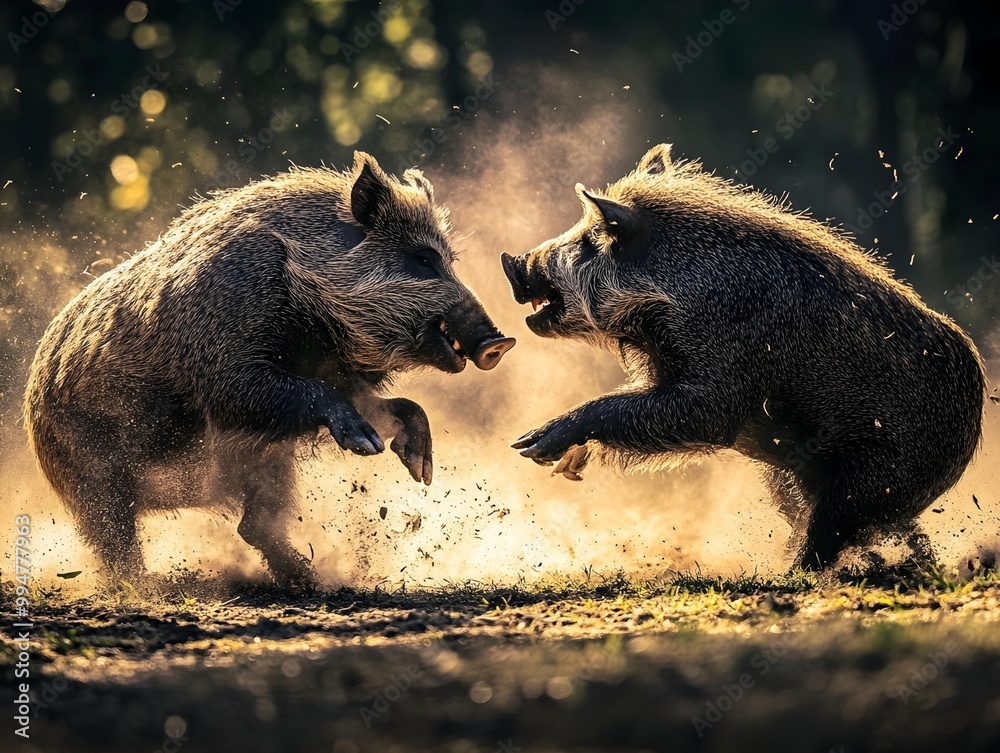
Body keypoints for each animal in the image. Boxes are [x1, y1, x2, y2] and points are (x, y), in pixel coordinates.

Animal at [24, 152, 514, 586]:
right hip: (92, 475)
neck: (311, 314)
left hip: (270, 463)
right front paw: (366, 445)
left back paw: (308, 580)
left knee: (252, 527)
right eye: (423, 259)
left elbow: (402, 405)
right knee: (114, 541)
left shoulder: (338, 379)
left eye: (448, 259)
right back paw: (149, 585)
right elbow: (311, 397)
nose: (500, 342)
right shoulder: (227, 372)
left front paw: (420, 471)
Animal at [502, 144, 985, 570]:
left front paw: (529, 445)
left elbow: (677, 412)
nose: (512, 261)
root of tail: (972, 430)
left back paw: (791, 575)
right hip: (798, 480)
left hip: (870, 479)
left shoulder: (720, 386)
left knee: (831, 534)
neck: (665, 302)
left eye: (588, 241)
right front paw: (556, 462)